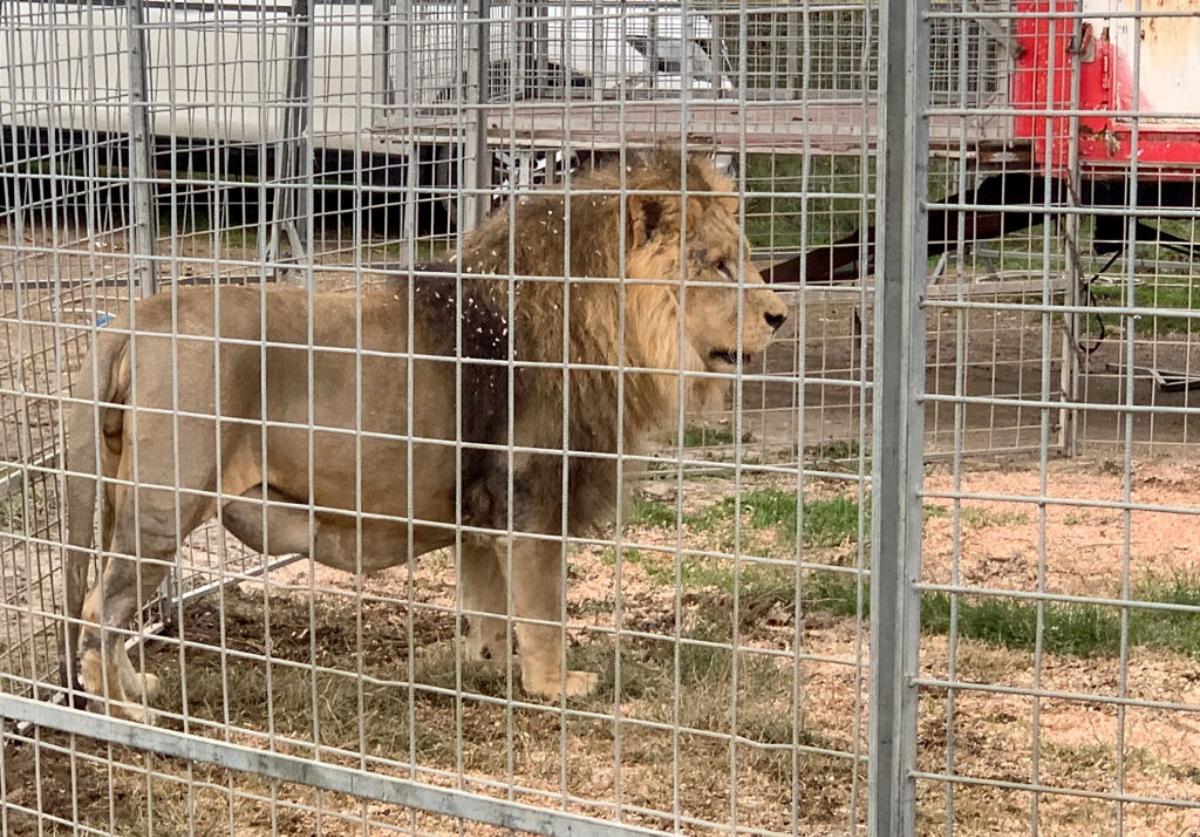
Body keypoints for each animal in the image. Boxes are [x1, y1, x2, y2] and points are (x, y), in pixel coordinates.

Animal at [60, 148, 789, 722]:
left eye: (748, 259)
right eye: (719, 265)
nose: (780, 316)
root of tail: (136, 318)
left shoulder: (481, 511)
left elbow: (490, 603)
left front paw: (489, 667)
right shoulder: (532, 497)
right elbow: (544, 609)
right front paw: (556, 686)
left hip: (127, 496)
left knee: (109, 607)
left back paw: (136, 687)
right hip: (164, 504)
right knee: (101, 606)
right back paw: (122, 713)